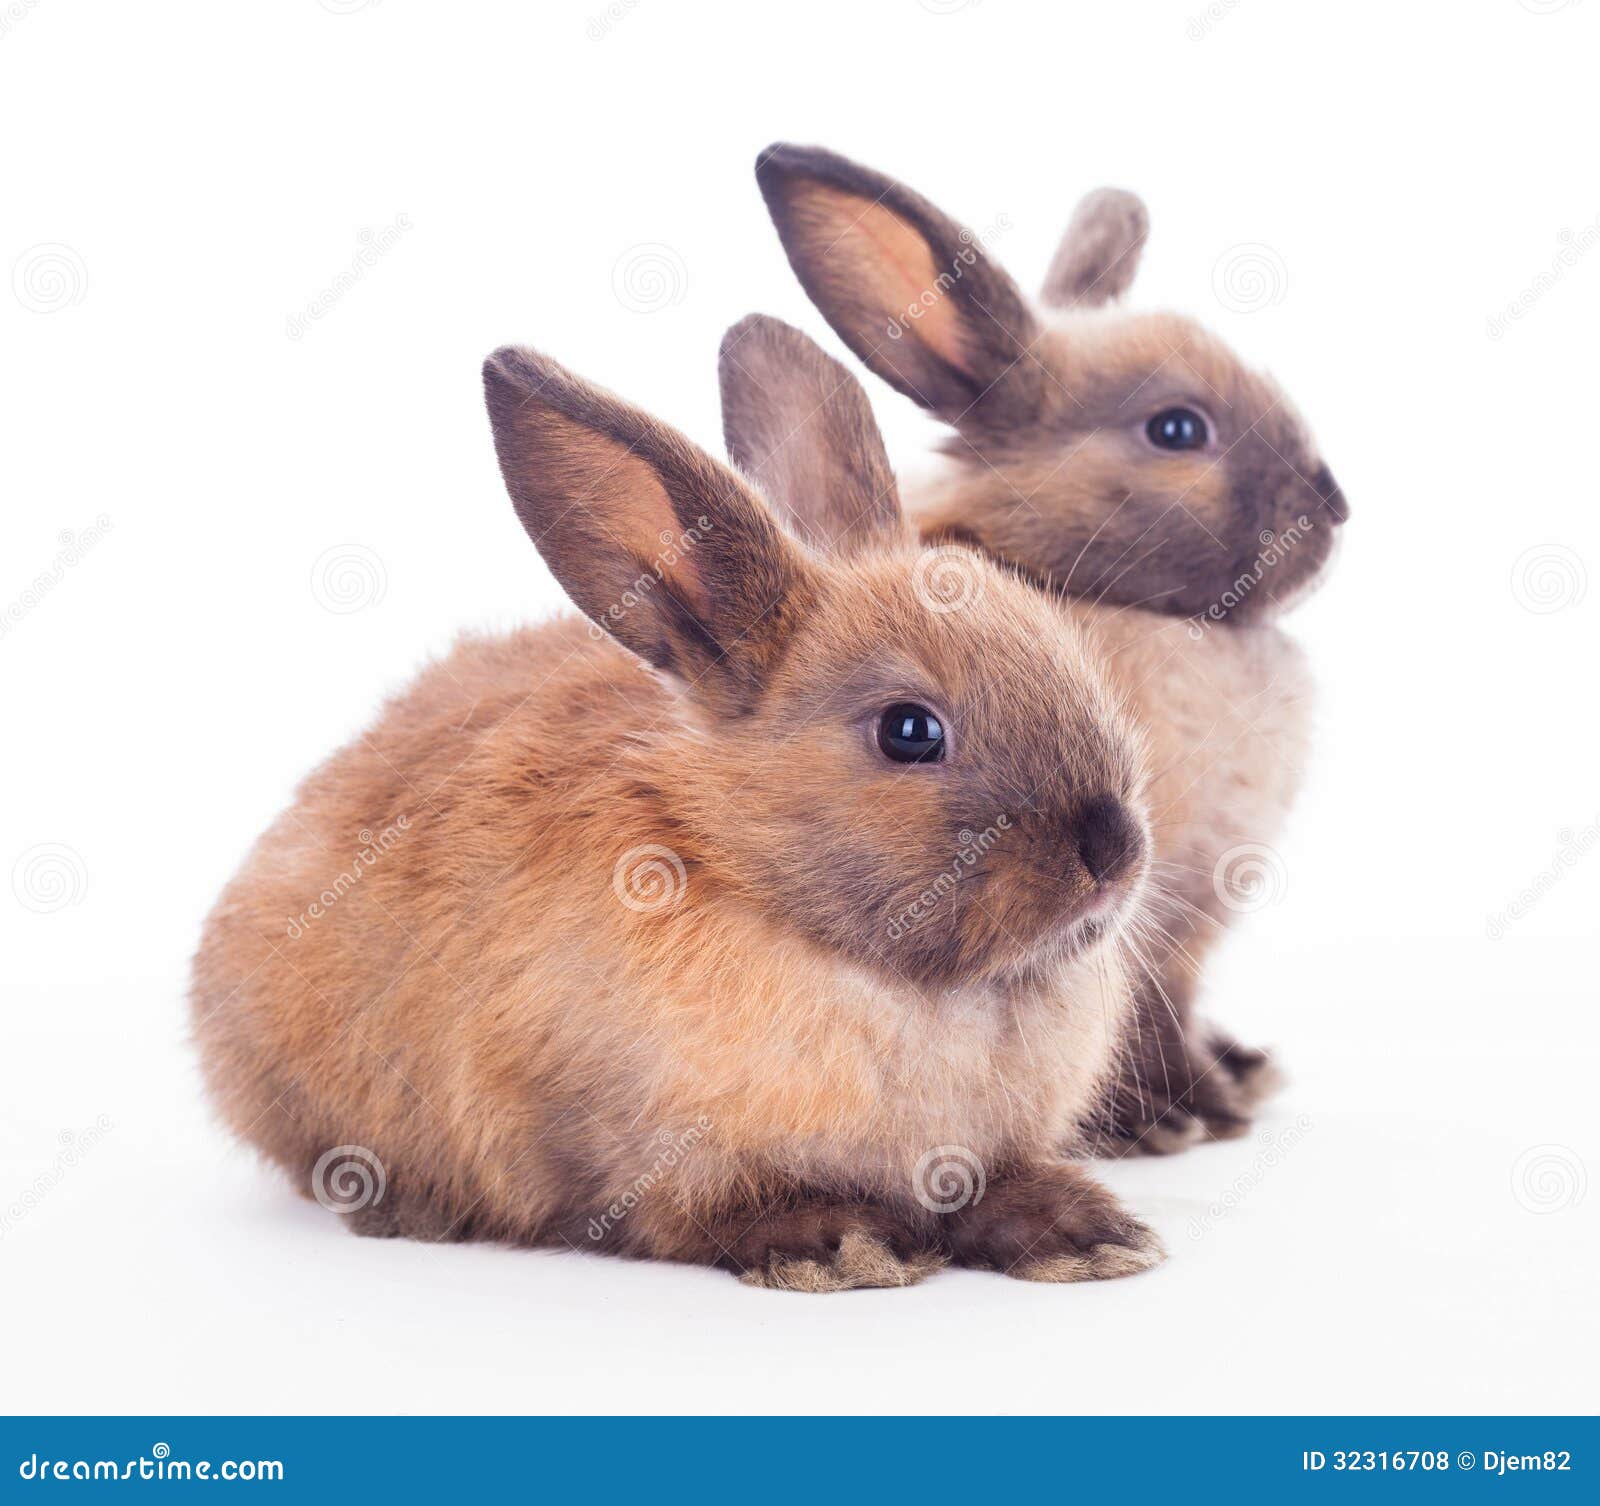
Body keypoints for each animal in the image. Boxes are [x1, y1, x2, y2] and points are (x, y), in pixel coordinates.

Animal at [189, 315, 1168, 1290]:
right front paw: (846, 1244)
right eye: (909, 730)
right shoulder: (624, 1149)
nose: (1113, 848)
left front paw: (1087, 1233)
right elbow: (702, 1212)